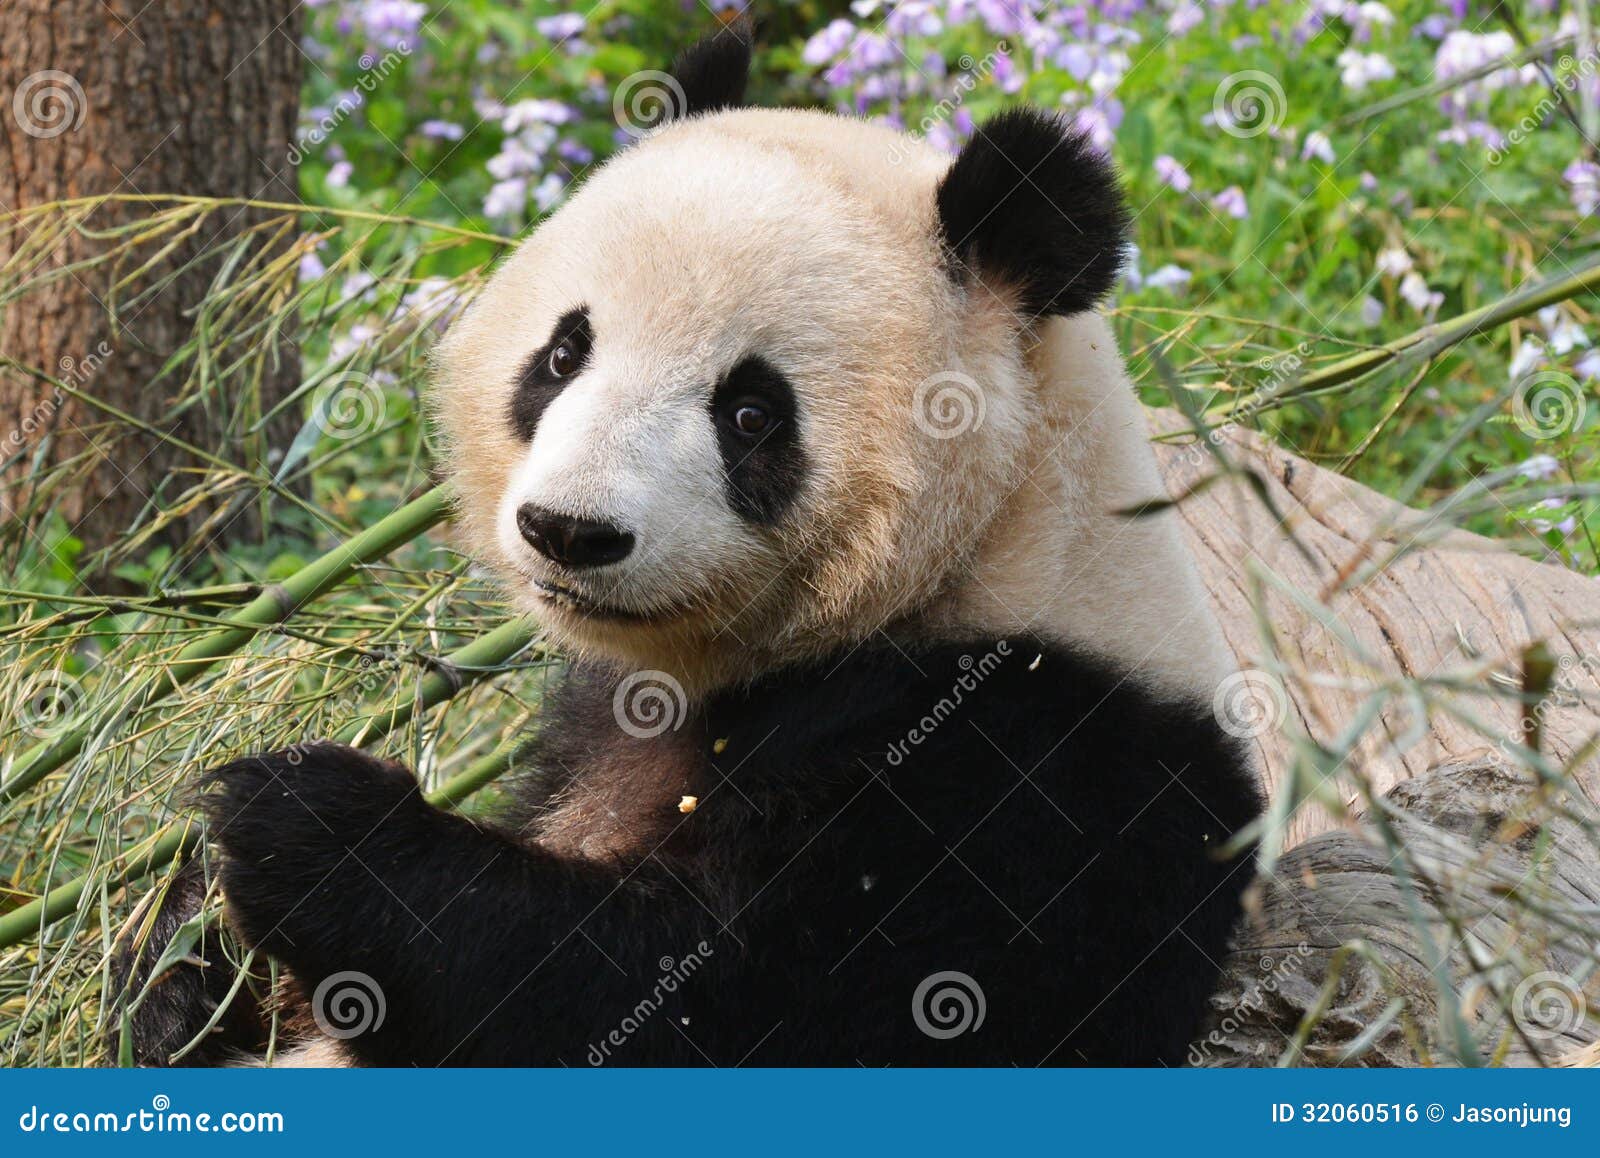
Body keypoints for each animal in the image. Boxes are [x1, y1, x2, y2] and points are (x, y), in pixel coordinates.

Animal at [114, 22, 1261, 1068]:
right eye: (563, 353)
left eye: (751, 412)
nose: (568, 531)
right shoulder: (587, 726)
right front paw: (183, 946)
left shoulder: (1032, 777)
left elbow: (700, 1004)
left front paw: (308, 823)